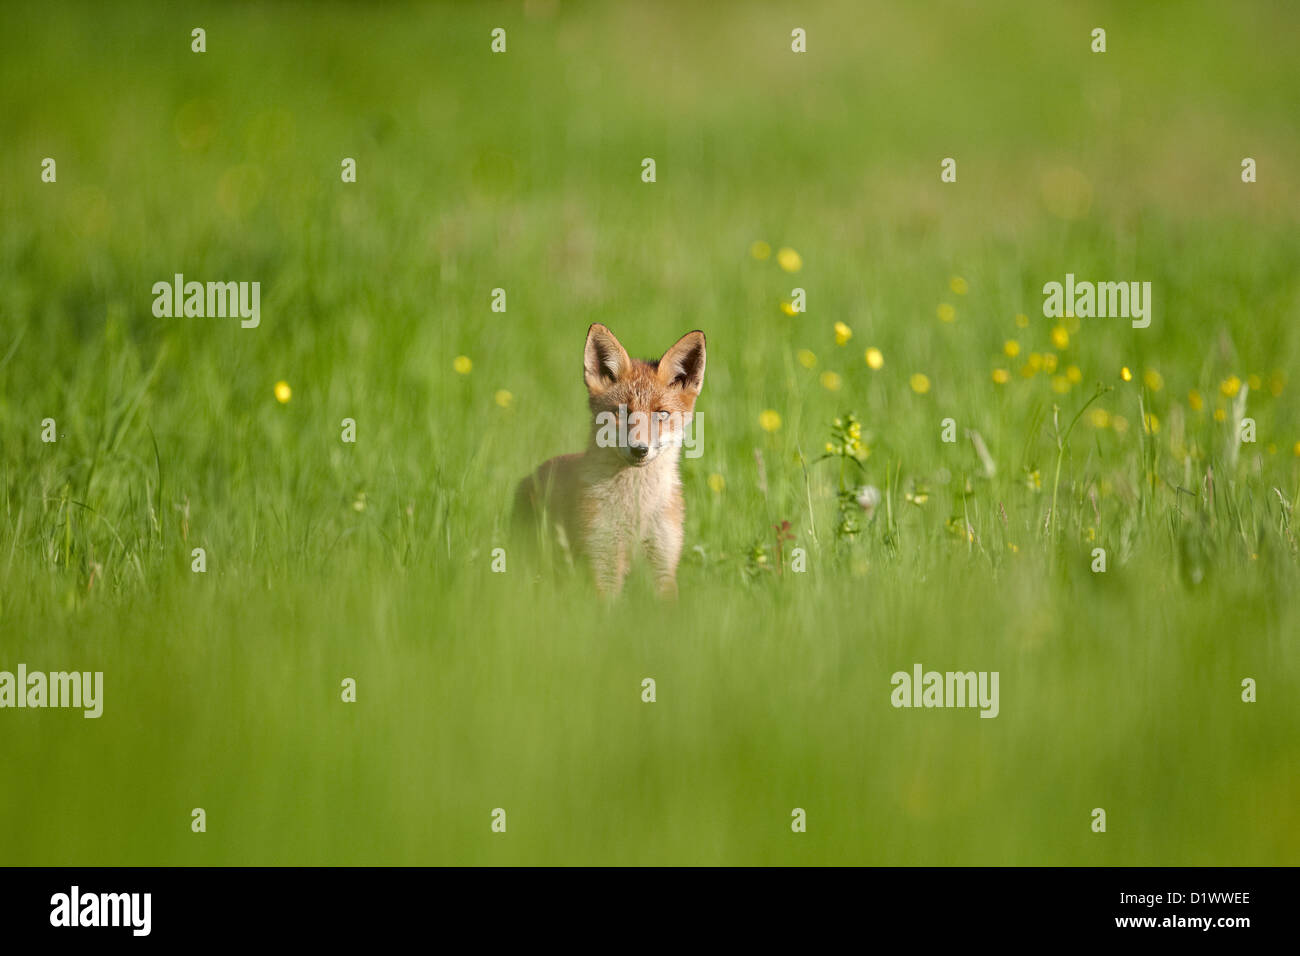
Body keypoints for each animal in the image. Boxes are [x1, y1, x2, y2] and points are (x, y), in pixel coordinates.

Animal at [513, 323, 706, 598]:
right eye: (621, 412)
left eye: (661, 414)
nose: (639, 450)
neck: (637, 510)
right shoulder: (603, 558)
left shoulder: (663, 562)